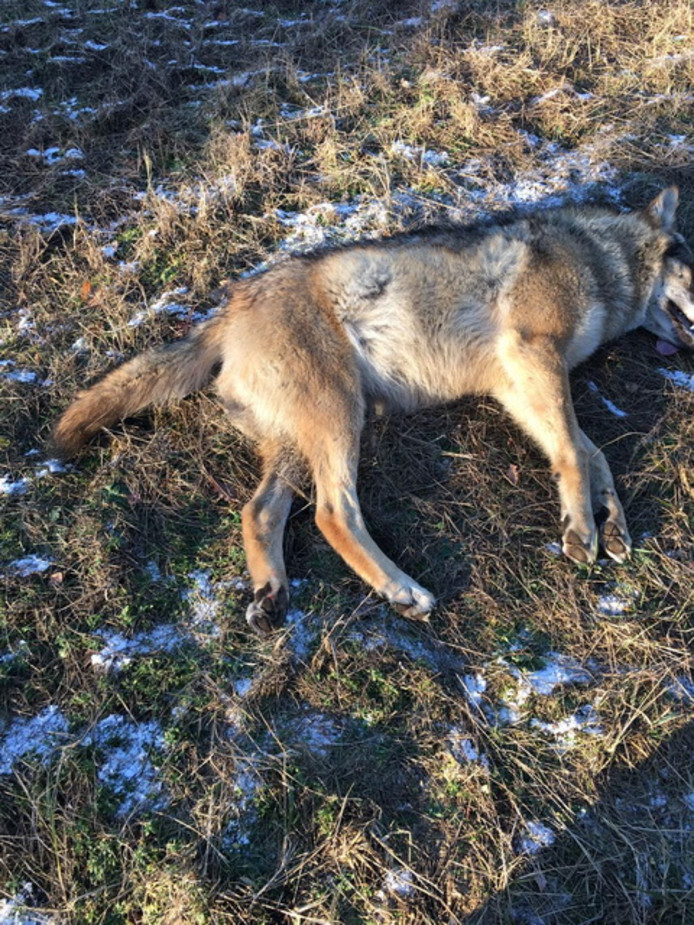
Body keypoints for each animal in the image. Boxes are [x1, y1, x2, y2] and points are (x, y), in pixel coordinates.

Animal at [53, 188, 694, 634]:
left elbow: (592, 453)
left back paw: (271, 598)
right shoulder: (534, 359)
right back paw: (402, 592)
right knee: (332, 514)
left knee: (258, 513)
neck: (598, 259)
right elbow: (575, 454)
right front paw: (582, 531)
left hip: (298, 445)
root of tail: (228, 312)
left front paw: (614, 527)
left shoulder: (519, 385)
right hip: (341, 418)